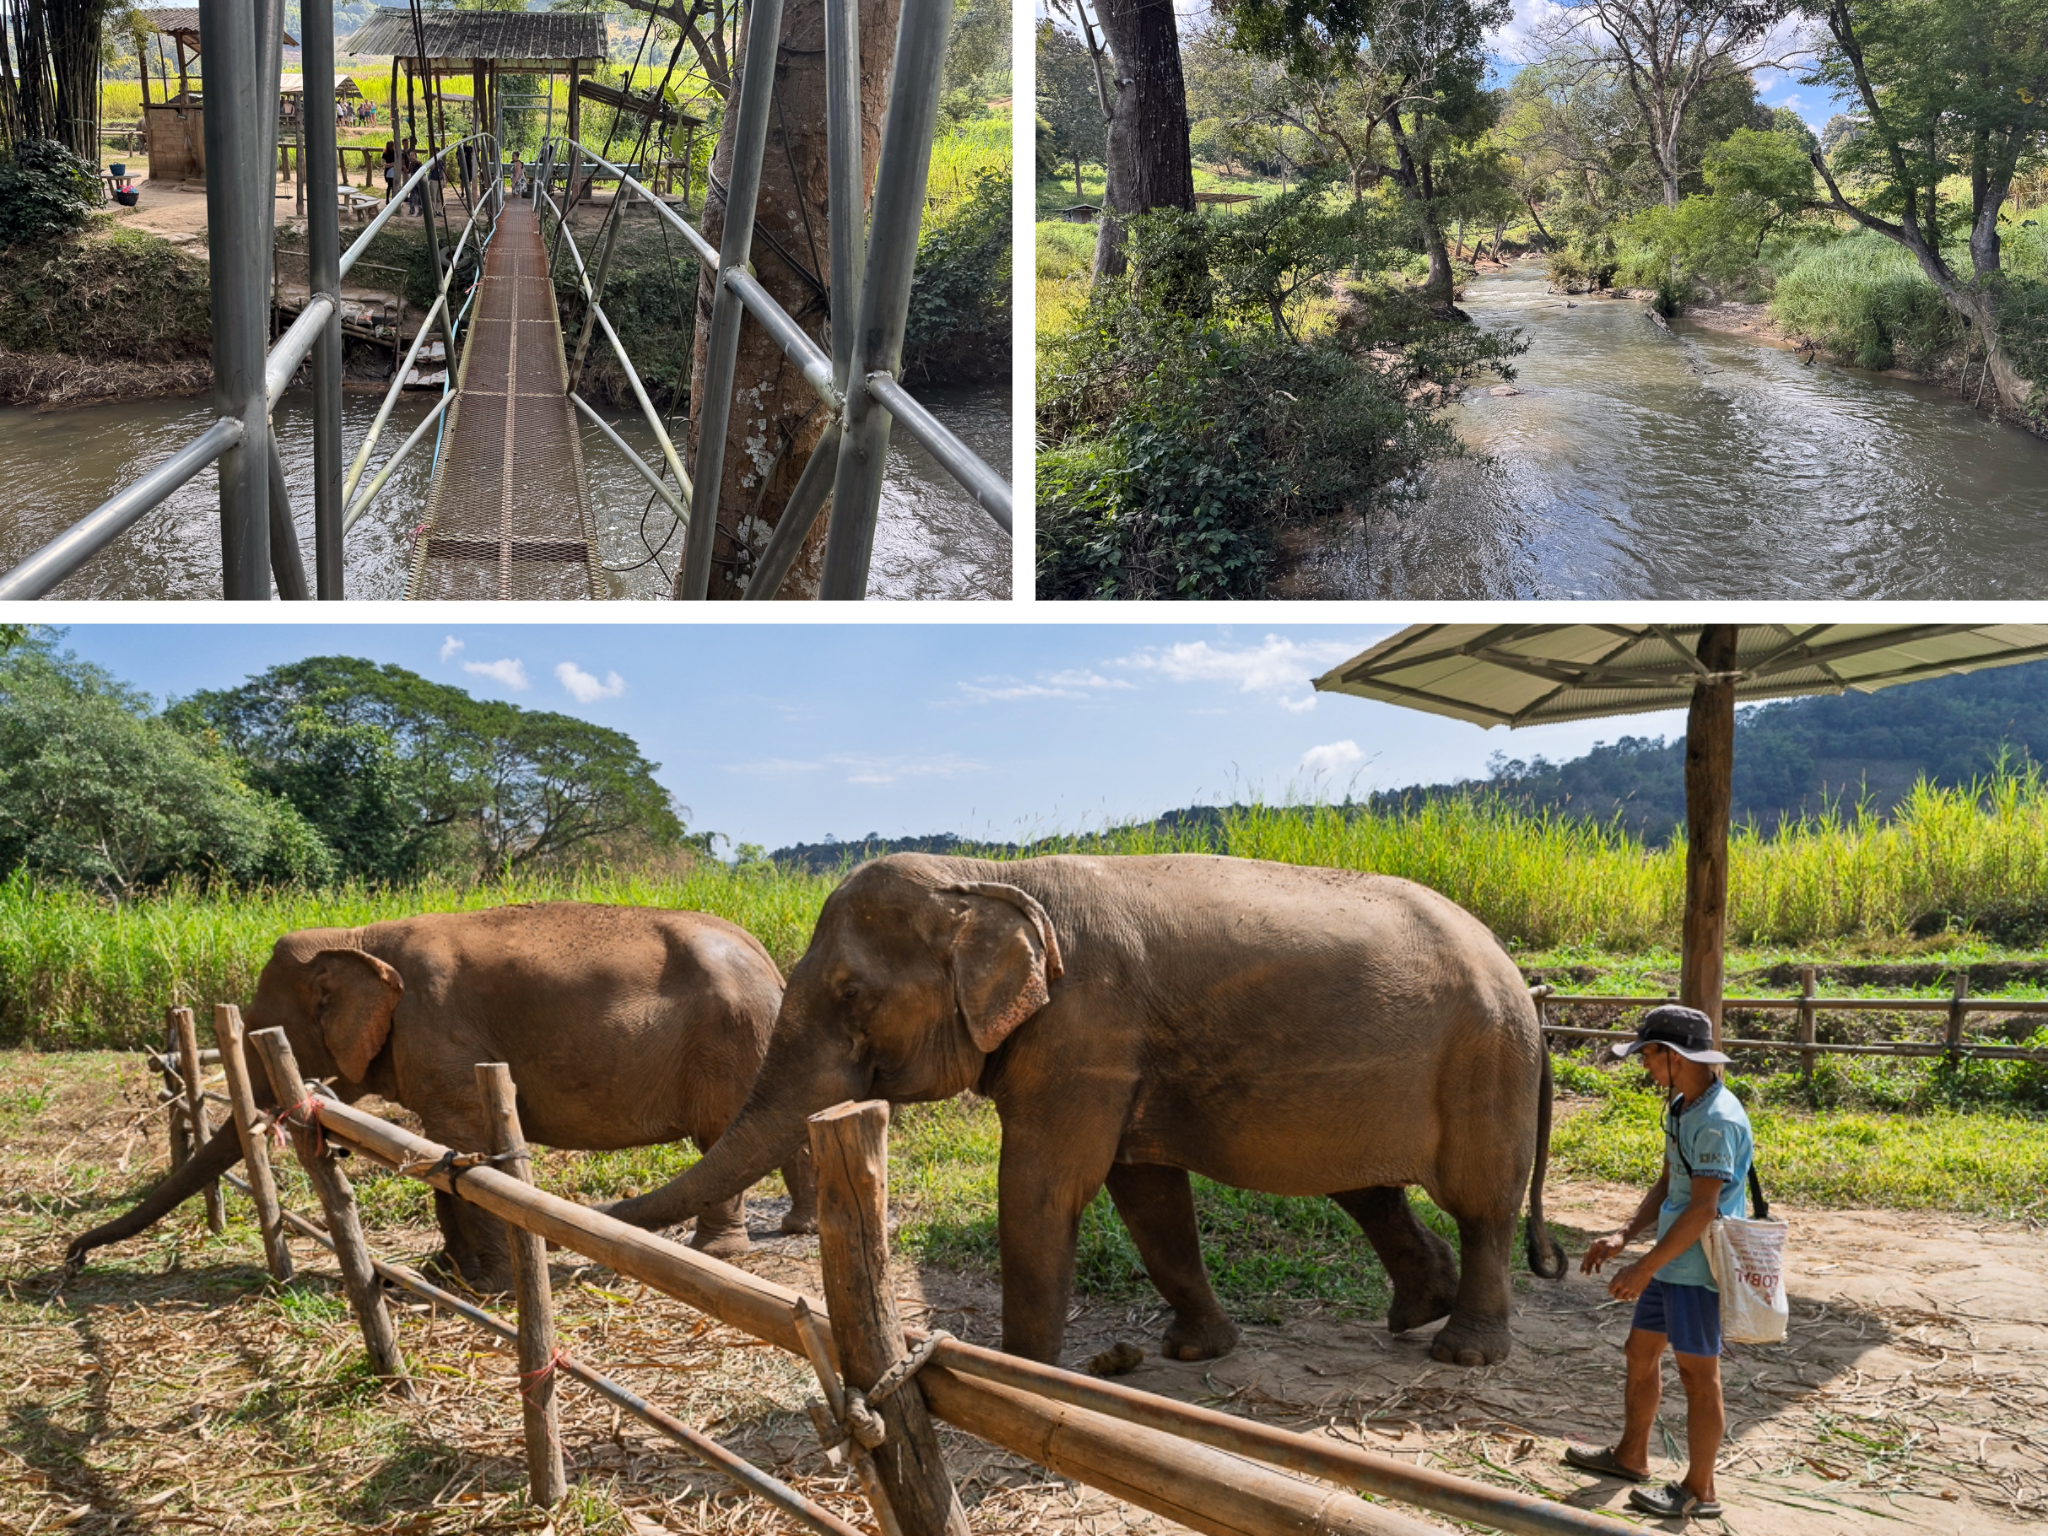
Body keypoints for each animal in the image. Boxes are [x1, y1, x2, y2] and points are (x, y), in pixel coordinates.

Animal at [66, 903, 817, 1288]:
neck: (360, 935)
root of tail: (771, 961)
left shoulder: (439, 1028)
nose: (73, 1255)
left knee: (720, 1137)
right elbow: (440, 1150)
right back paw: (797, 1228)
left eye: (260, 1032)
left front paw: (485, 1283)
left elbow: (466, 1136)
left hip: (726, 1040)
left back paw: (717, 1254)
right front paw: (443, 1269)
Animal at [603, 853, 1568, 1367]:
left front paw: (1020, 1374)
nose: (599, 1208)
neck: (988, 876)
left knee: (1481, 1201)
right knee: (1367, 1190)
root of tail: (1523, 982)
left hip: (1485, 1063)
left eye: (850, 994)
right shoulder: (1117, 1056)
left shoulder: (1086, 1032)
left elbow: (1044, 1184)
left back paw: (1464, 1350)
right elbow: (1145, 1194)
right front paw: (1195, 1352)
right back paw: (1418, 1309)